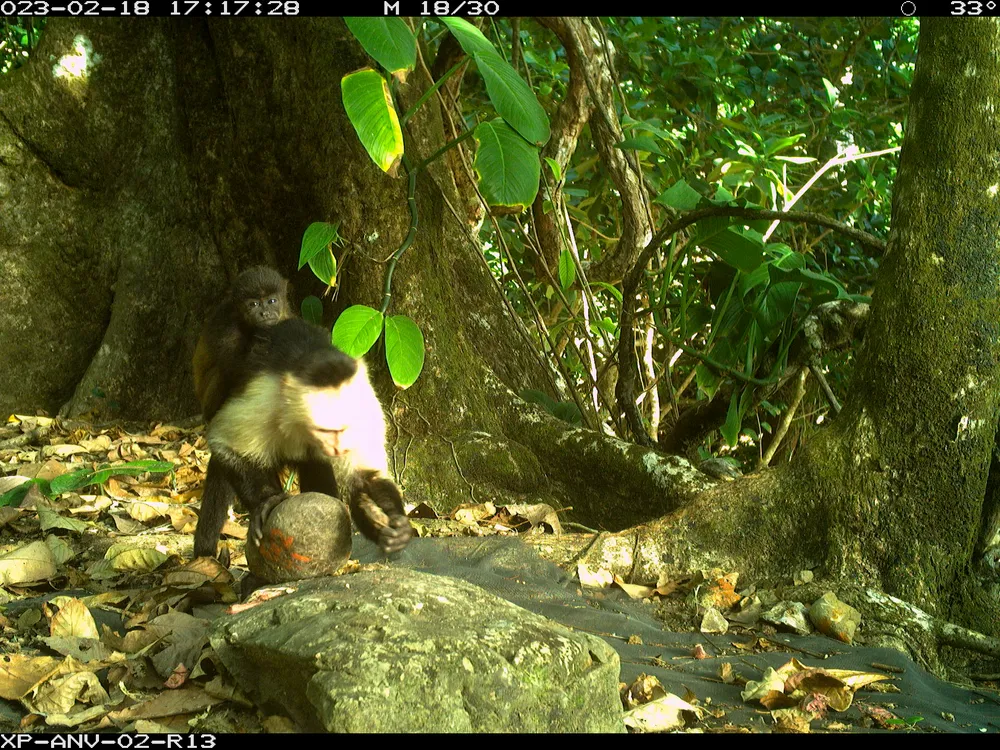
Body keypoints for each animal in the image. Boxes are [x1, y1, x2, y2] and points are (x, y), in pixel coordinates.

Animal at [192, 266, 292, 422]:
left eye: (272, 301)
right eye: (254, 304)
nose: (265, 313)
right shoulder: (226, 324)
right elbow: (235, 369)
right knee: (223, 374)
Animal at [192, 317, 414, 561]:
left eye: (345, 429)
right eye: (326, 431)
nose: (340, 449)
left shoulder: (367, 403)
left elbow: (367, 476)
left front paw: (396, 524)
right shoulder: (264, 396)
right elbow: (224, 443)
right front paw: (269, 500)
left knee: (317, 469)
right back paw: (205, 555)